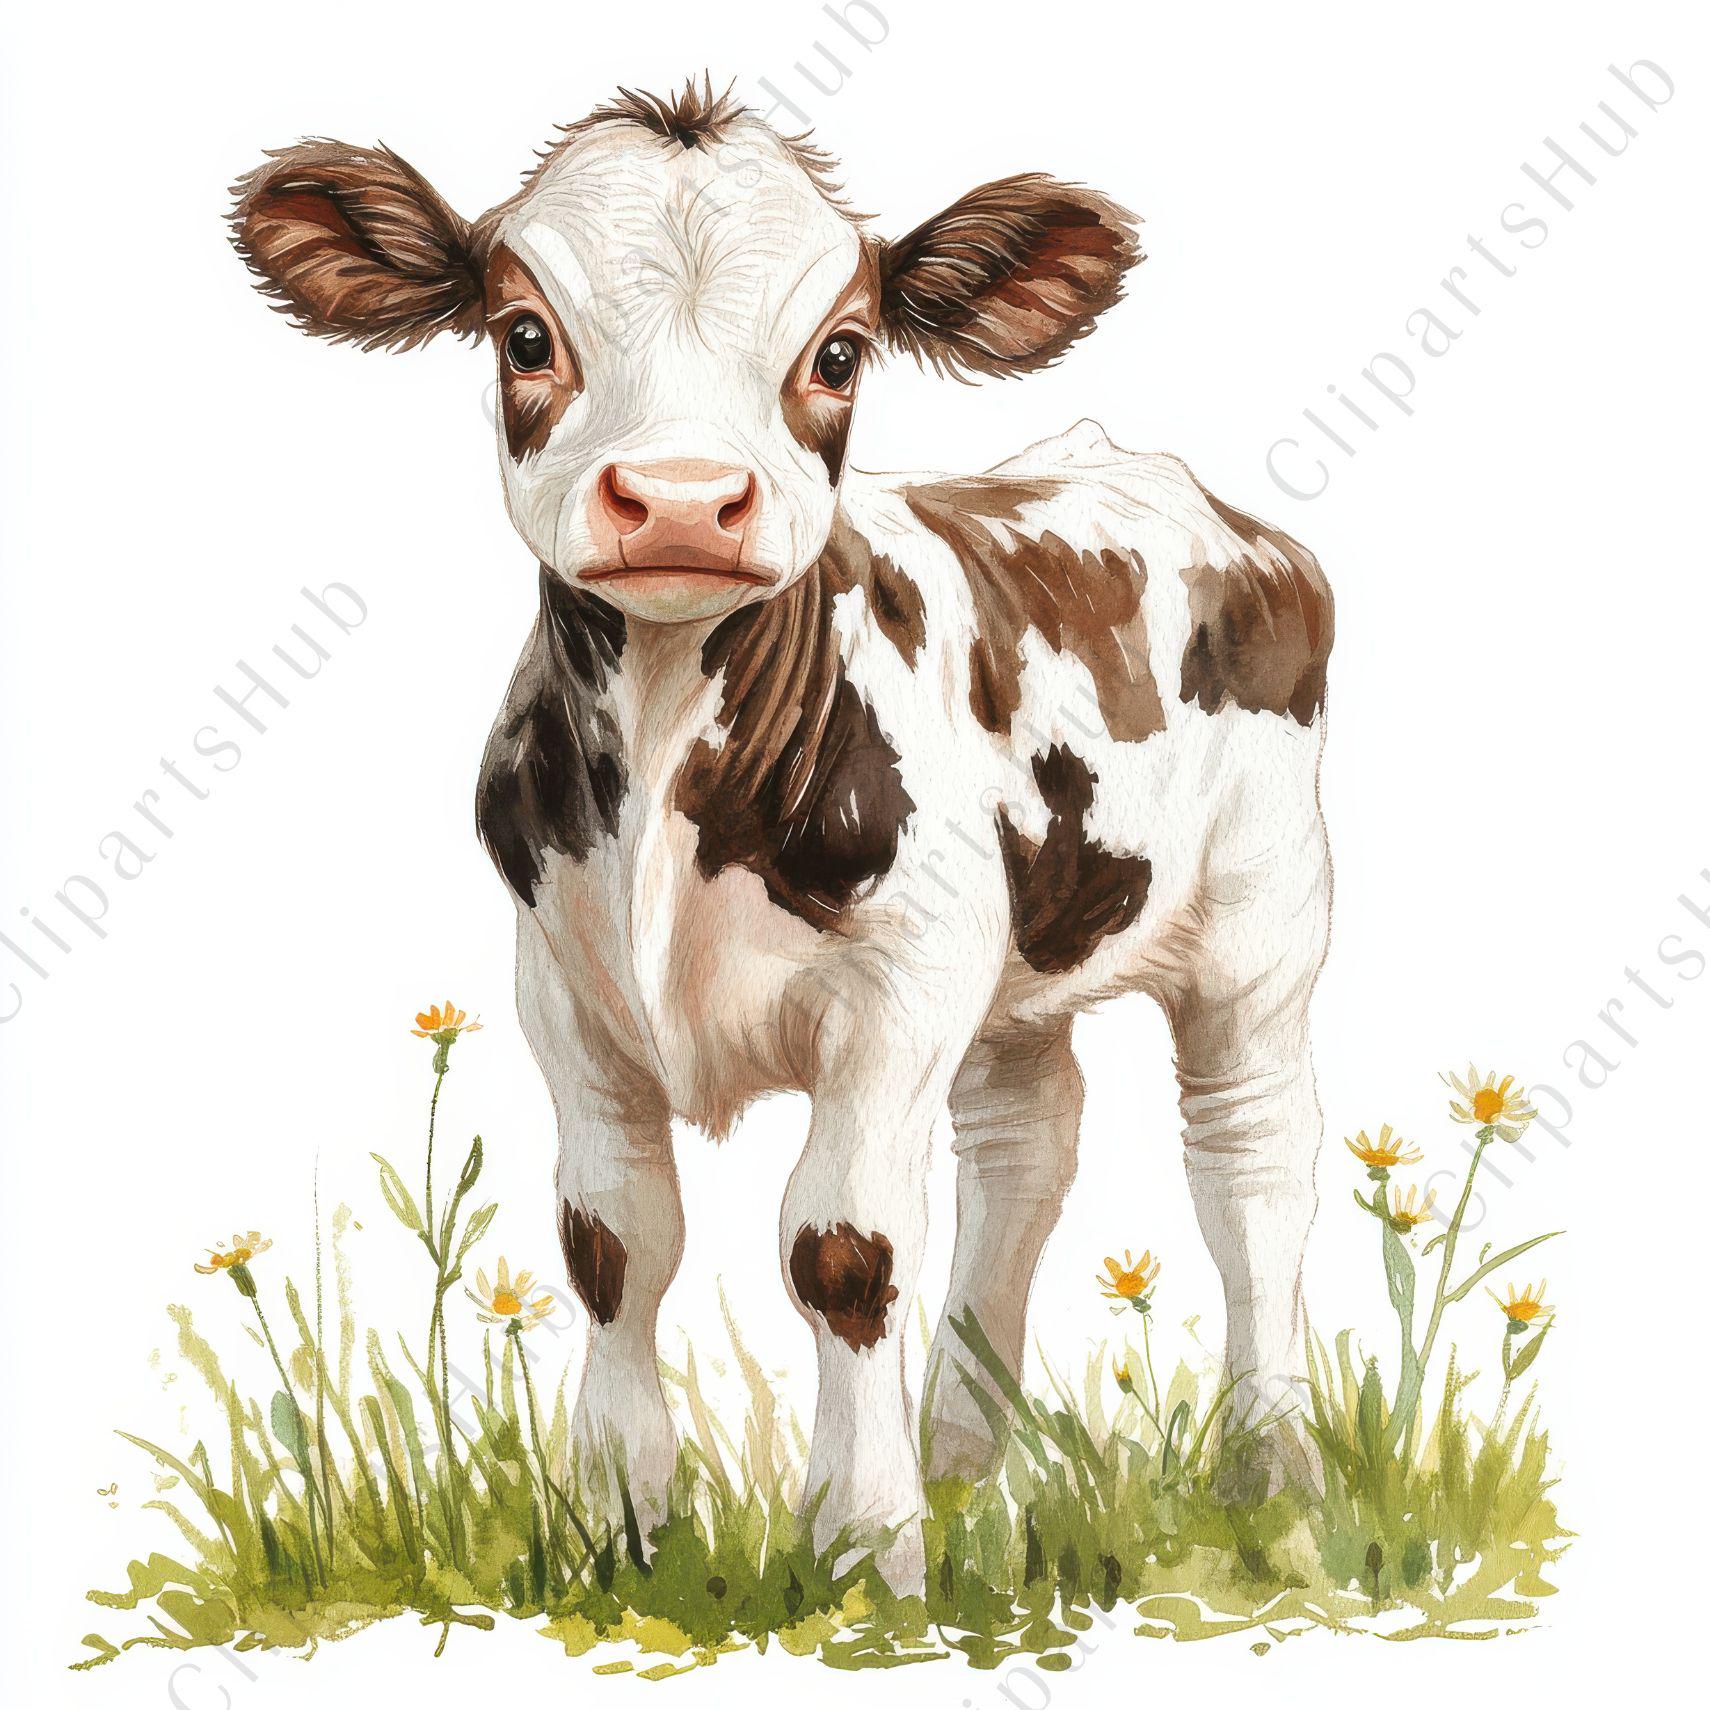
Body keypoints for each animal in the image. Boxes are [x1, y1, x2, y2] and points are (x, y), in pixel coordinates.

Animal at [230, 79, 1332, 1593]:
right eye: (525, 333)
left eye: (841, 350)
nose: (684, 496)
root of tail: (1153, 478)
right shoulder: (562, 991)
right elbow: (613, 1243)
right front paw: (623, 1526)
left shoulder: (896, 990)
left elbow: (845, 1250)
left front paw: (865, 1553)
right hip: (1015, 970)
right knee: (1022, 1150)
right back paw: (962, 1458)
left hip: (1259, 929)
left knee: (1252, 1166)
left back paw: (1268, 1479)